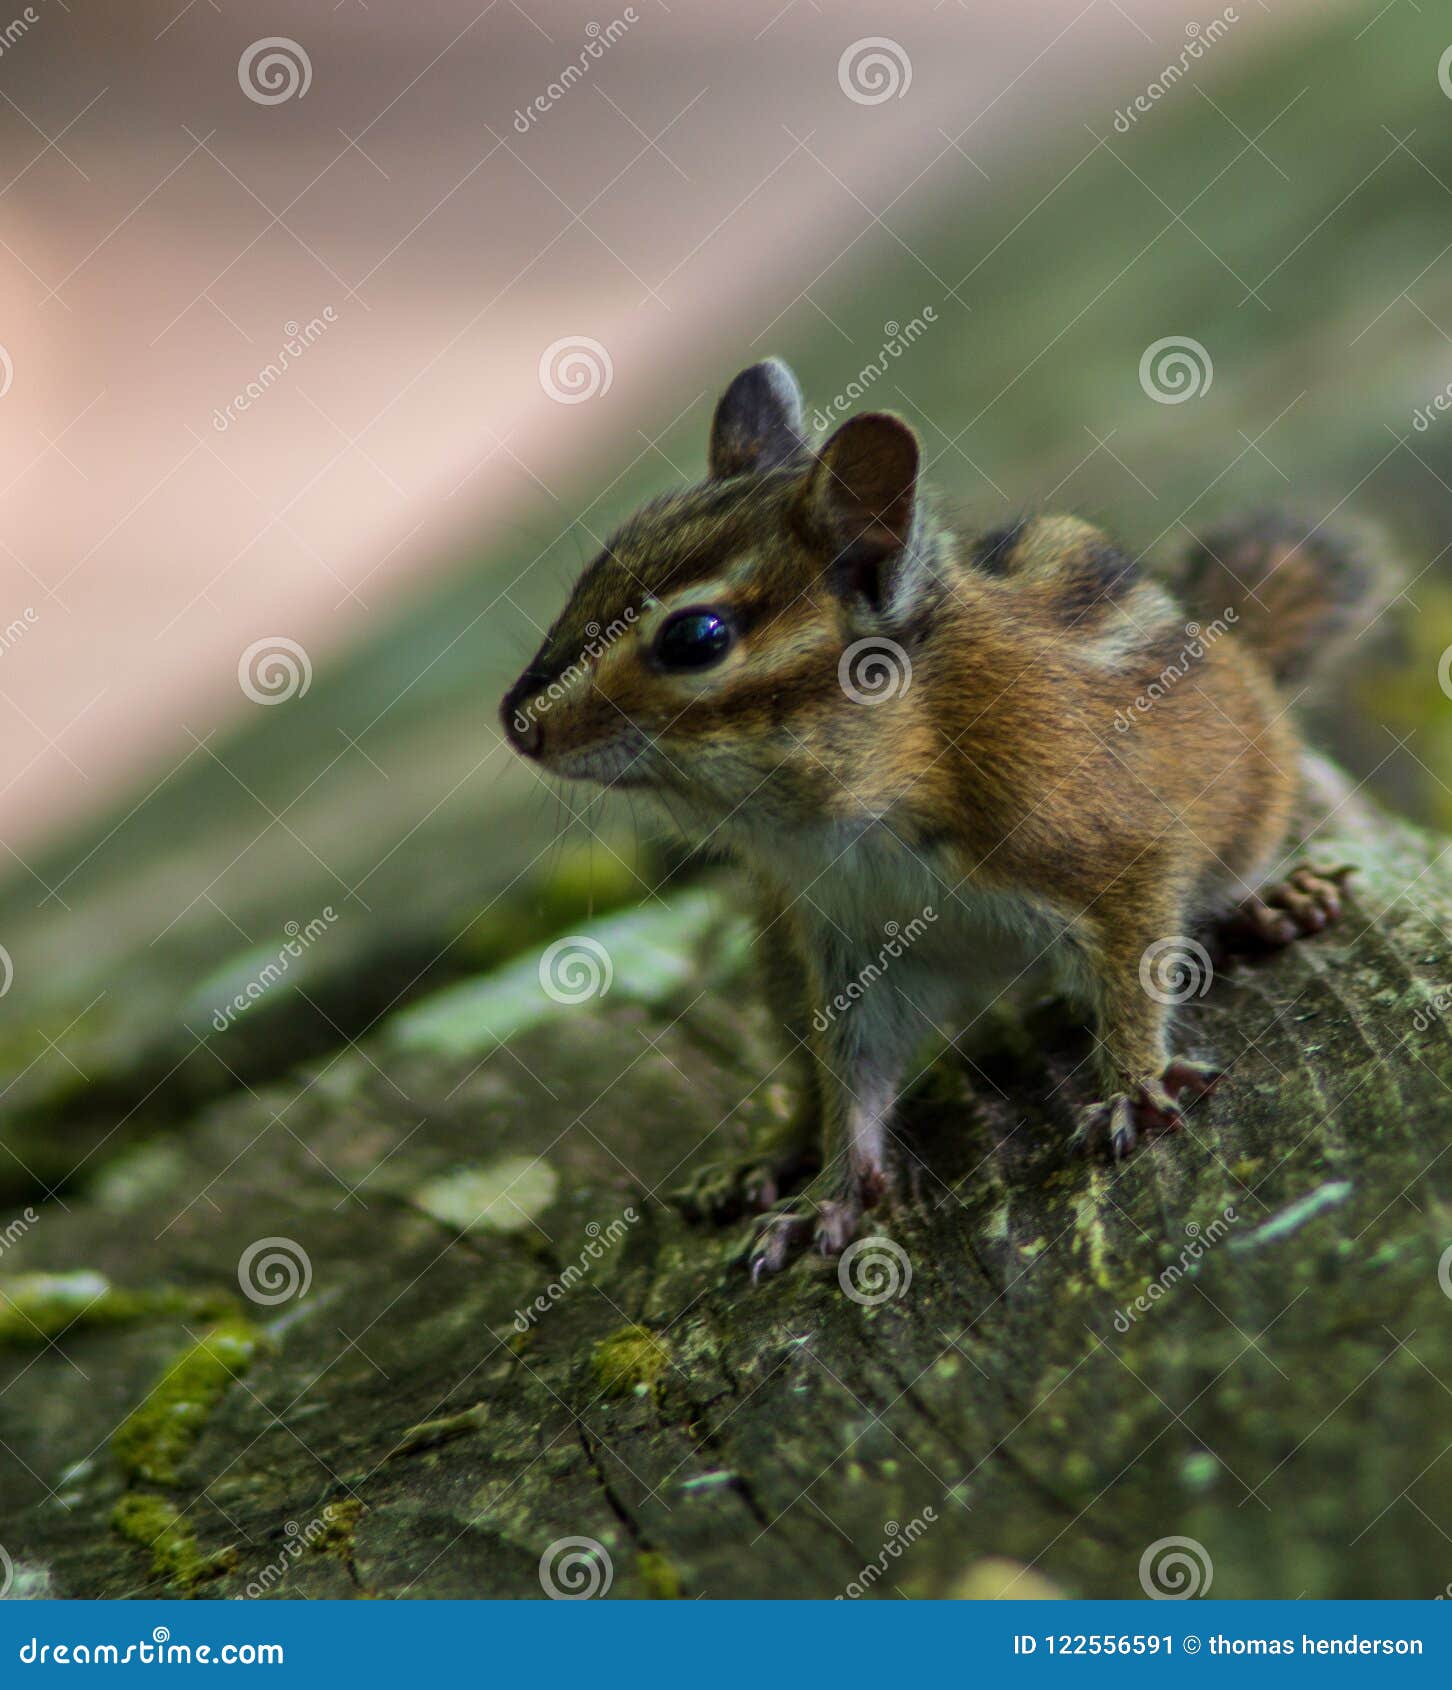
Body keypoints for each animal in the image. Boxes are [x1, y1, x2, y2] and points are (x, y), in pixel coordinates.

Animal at [500, 358, 1379, 1280]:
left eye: (695, 638)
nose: (515, 722)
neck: (858, 813)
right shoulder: (844, 945)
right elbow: (848, 1075)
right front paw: (827, 1196)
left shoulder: (1109, 847)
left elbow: (1135, 962)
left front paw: (1134, 1086)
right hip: (776, 959)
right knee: (801, 1076)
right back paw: (766, 1157)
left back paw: (1275, 899)